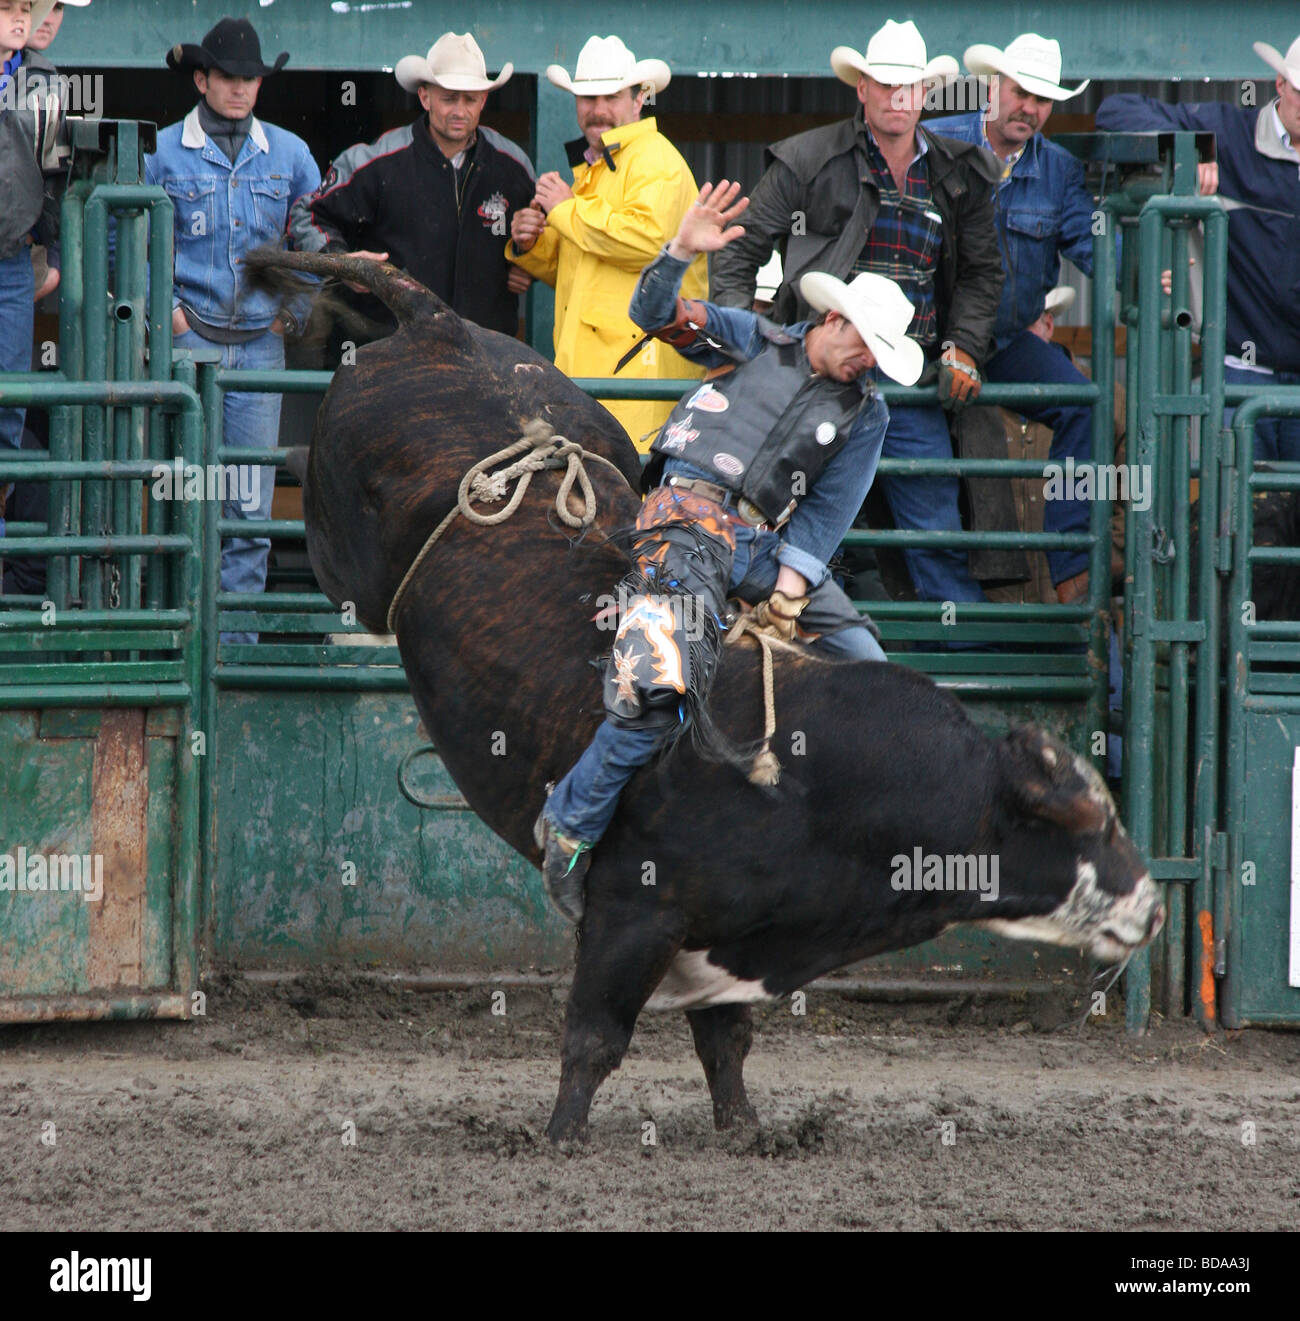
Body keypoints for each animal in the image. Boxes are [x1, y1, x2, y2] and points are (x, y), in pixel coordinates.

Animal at [247, 251, 1165, 1143]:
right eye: (1079, 822)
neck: (817, 782)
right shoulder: (632, 911)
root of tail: (436, 324)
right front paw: (560, 1136)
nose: (1153, 907)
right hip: (346, 541)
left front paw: (745, 1129)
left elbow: (726, 1040)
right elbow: (595, 1035)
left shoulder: (730, 944)